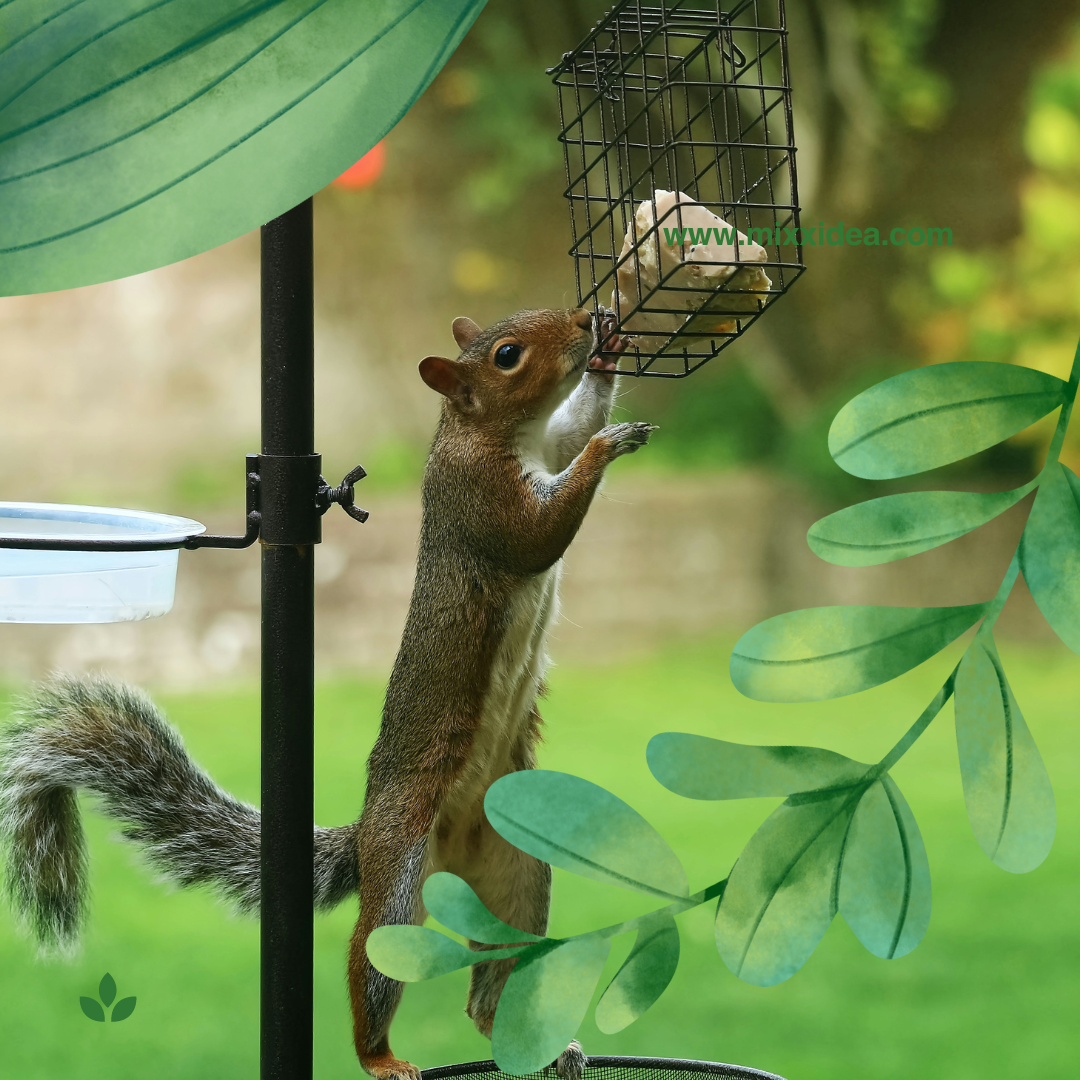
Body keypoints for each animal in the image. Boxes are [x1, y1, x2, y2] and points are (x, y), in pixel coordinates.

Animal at [0, 306, 654, 1078]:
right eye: (507, 355)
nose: (586, 321)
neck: (489, 433)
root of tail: (379, 836)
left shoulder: (546, 445)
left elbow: (572, 429)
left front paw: (610, 359)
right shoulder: (482, 500)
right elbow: (538, 533)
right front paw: (608, 445)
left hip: (518, 873)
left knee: (485, 988)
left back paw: (533, 1046)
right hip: (401, 872)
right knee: (373, 963)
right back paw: (382, 1059)